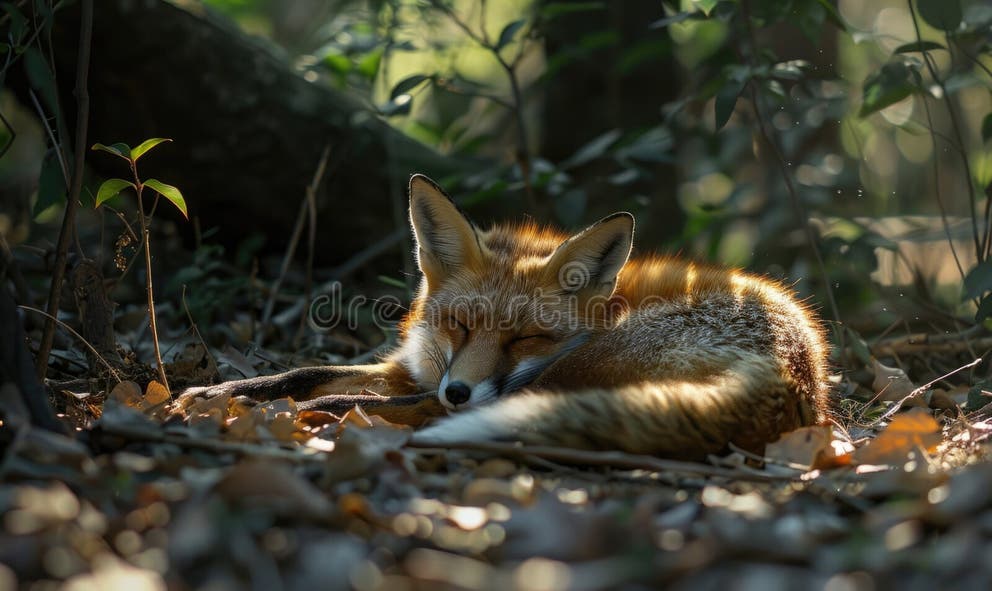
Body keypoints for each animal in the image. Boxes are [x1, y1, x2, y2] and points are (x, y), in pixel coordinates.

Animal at [176, 174, 830, 460]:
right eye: (461, 326)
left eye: (524, 338)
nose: (460, 390)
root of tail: (800, 374)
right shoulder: (414, 369)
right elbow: (301, 372)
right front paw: (216, 393)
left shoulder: (435, 382)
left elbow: (348, 391)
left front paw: (271, 408)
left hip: (577, 369)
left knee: (426, 416)